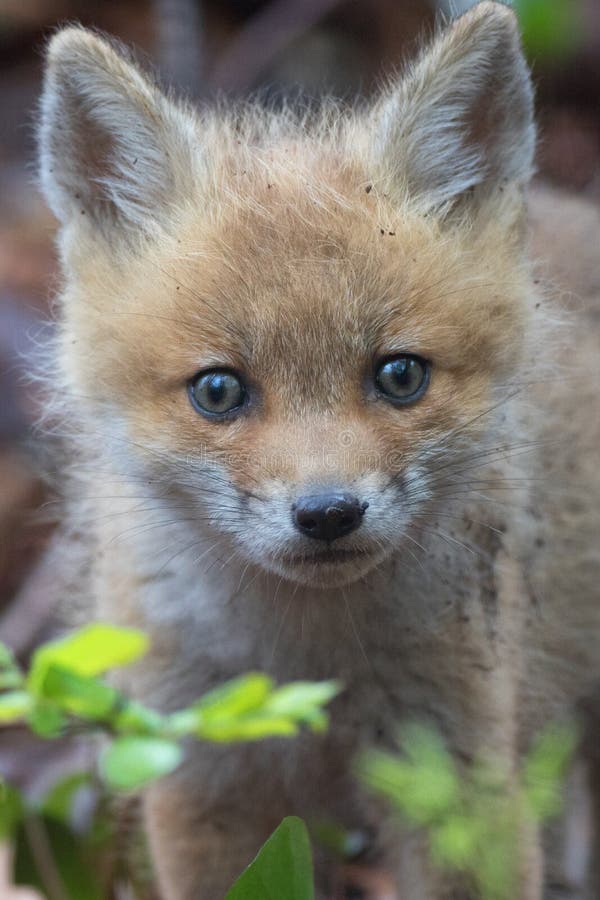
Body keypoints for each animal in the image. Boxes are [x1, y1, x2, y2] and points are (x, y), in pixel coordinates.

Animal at [36, 2, 600, 898]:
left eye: (400, 376)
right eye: (218, 391)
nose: (329, 514)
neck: (310, 656)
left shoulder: (459, 778)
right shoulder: (203, 778)